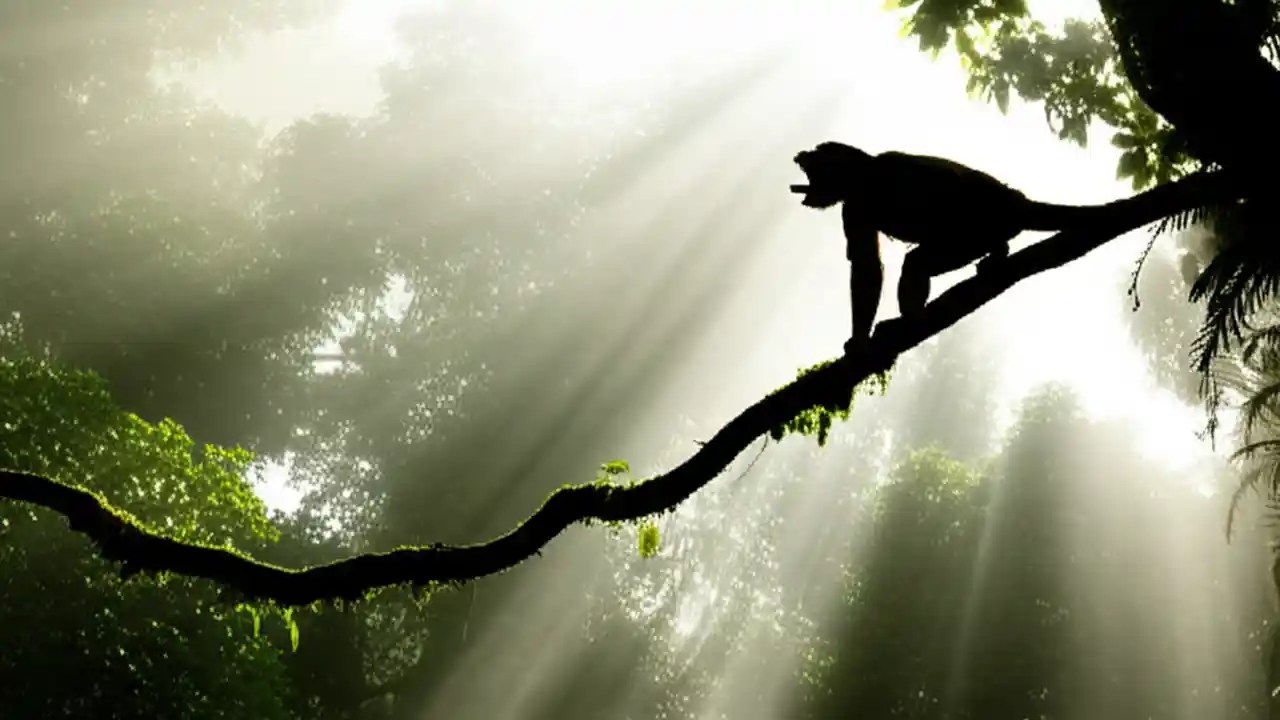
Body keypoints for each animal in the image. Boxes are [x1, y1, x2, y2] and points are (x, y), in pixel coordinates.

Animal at [791, 142, 1093, 354]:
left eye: (817, 153)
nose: (800, 154)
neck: (865, 179)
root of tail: (1016, 203)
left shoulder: (888, 175)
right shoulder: (853, 207)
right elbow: (865, 263)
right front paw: (859, 340)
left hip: (976, 233)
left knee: (919, 260)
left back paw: (909, 320)